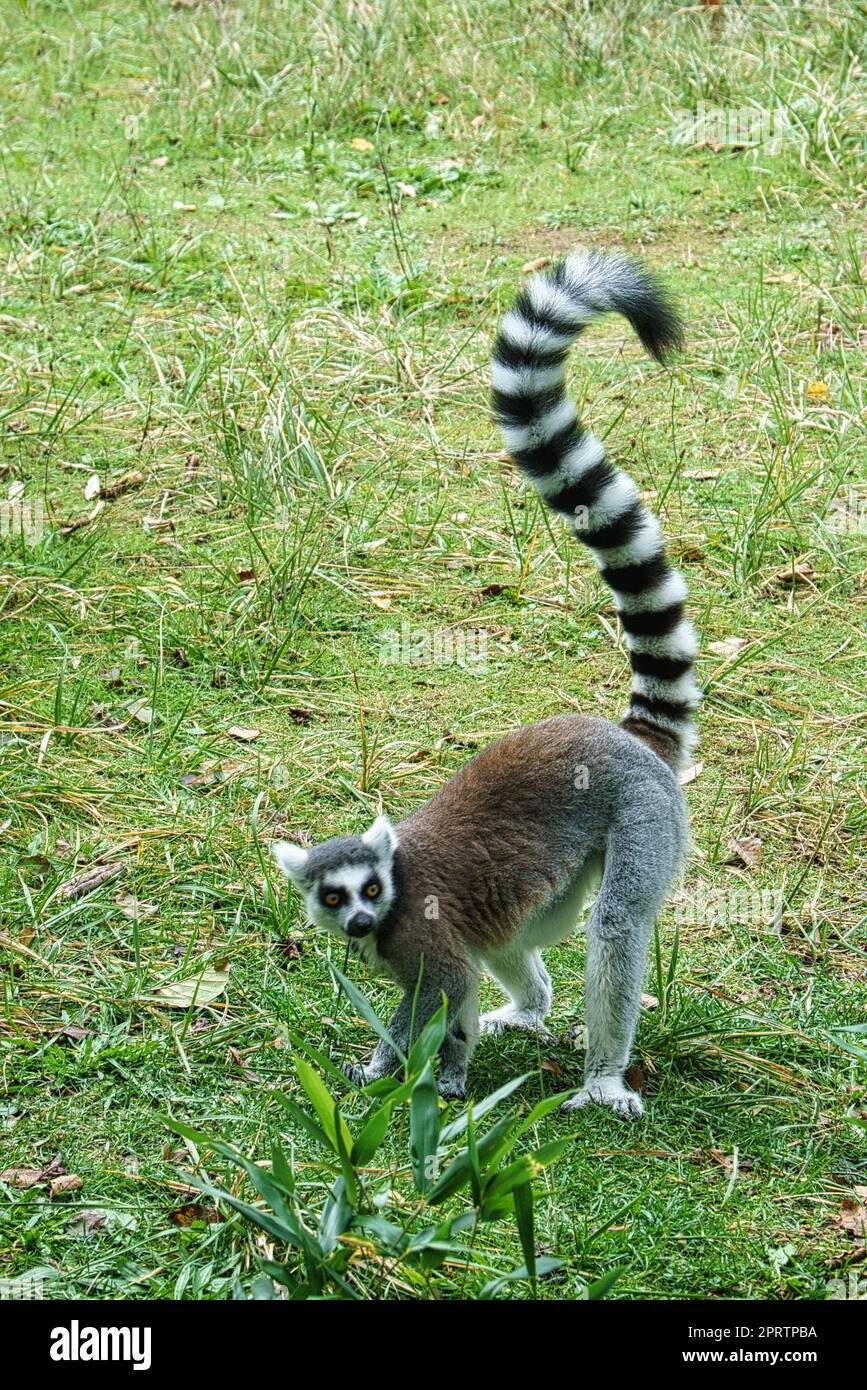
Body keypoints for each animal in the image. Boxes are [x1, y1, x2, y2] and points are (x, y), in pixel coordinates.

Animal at [273, 249, 699, 1118]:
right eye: (332, 897)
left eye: (368, 890)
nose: (358, 925)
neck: (397, 892)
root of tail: (625, 735)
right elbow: (452, 992)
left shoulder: (420, 937)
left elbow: (436, 994)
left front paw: (386, 1074)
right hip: (555, 872)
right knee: (514, 933)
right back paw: (528, 1008)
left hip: (643, 817)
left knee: (613, 928)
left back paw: (602, 1078)